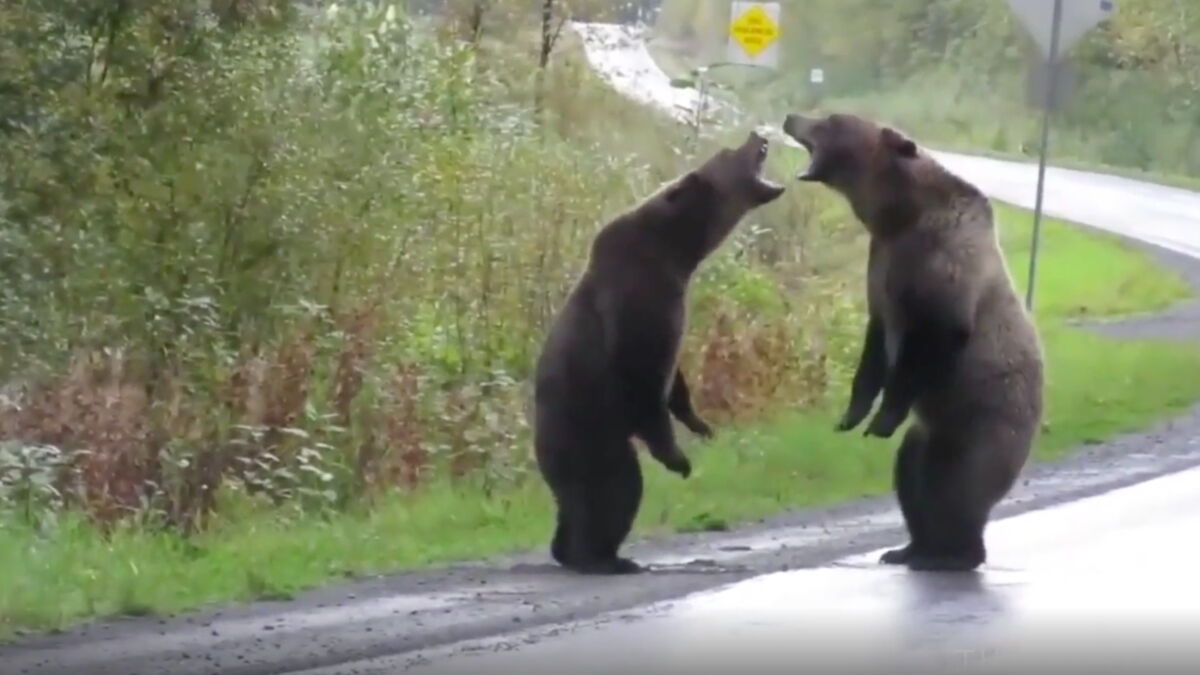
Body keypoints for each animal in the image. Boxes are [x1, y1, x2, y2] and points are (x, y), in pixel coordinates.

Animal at [533, 131, 785, 575]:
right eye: (728, 153)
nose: (758, 134)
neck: (677, 251)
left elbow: (673, 376)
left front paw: (701, 423)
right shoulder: (638, 304)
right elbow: (644, 378)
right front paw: (678, 458)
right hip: (584, 432)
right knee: (615, 488)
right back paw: (601, 558)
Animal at [782, 112, 1044, 572]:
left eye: (832, 120)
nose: (791, 116)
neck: (896, 217)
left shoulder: (942, 264)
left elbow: (931, 340)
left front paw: (882, 418)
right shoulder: (882, 268)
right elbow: (873, 345)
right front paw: (852, 414)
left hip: (984, 425)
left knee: (956, 485)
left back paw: (953, 553)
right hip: (928, 433)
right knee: (910, 474)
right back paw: (910, 548)